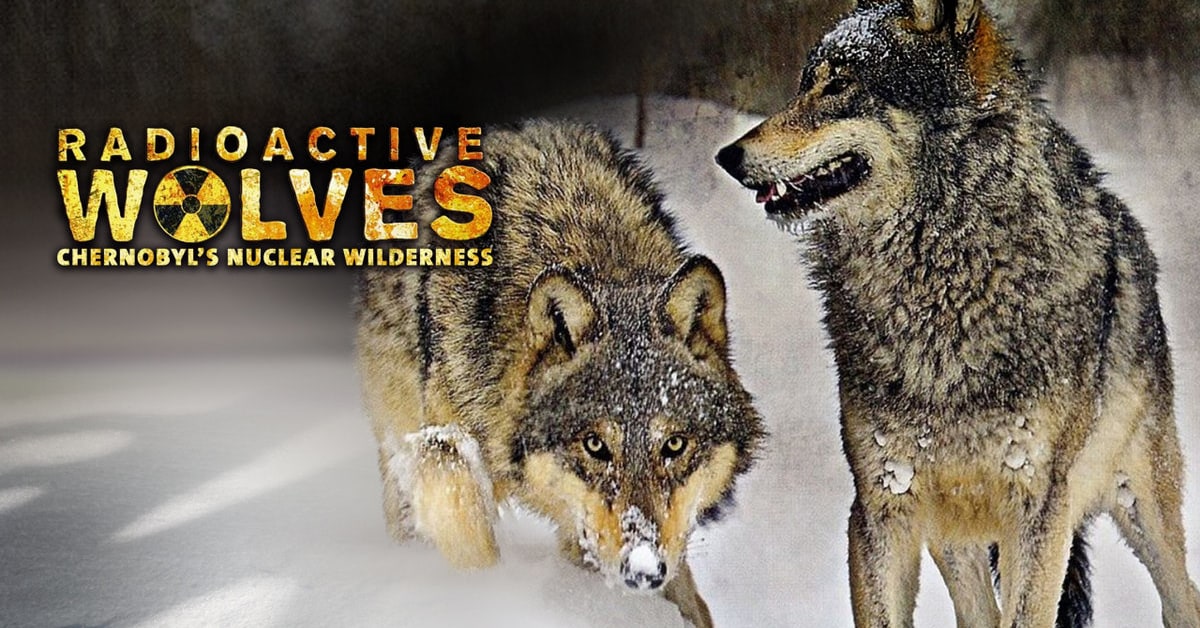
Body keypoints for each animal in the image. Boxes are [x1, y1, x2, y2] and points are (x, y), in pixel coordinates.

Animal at [715, 0, 1200, 626]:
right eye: (805, 85)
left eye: (839, 86)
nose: (728, 156)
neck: (940, 288)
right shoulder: (881, 504)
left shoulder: (1039, 511)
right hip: (955, 534)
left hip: (1140, 505)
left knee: (1181, 596)